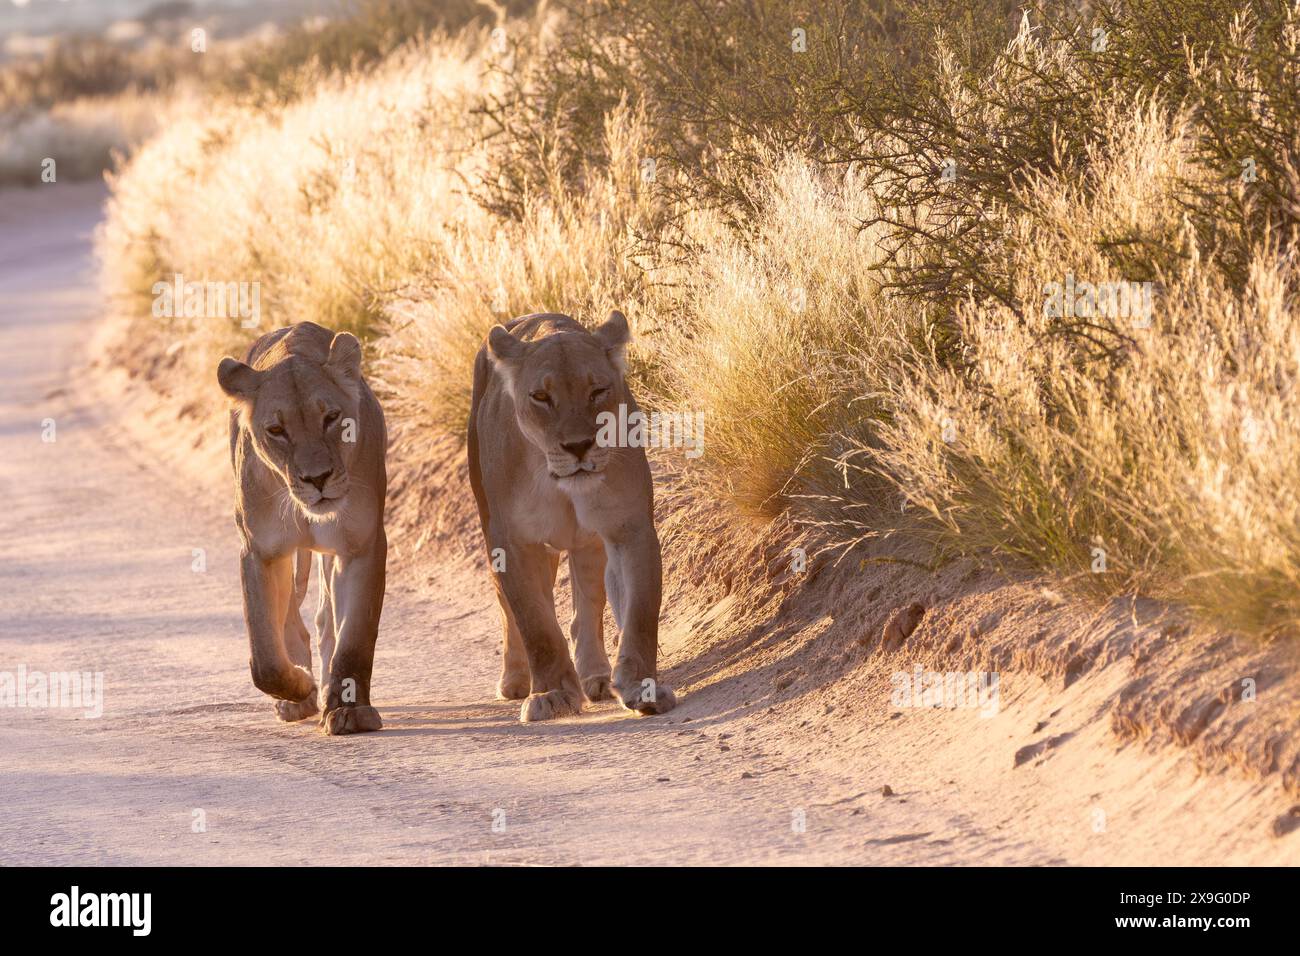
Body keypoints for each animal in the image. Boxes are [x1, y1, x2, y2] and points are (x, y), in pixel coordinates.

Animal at [217, 321, 388, 735]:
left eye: (332, 417)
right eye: (277, 429)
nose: (318, 478)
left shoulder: (362, 546)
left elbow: (354, 638)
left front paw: (350, 711)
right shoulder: (260, 551)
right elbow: (265, 659)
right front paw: (300, 688)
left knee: (326, 622)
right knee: (292, 624)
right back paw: (301, 696)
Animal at [467, 311, 677, 722]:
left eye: (597, 391)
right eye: (541, 397)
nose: (579, 446)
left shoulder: (629, 528)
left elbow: (641, 613)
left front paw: (641, 687)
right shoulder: (513, 542)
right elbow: (536, 625)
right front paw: (551, 694)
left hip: (588, 543)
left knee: (586, 608)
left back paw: (596, 676)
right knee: (509, 611)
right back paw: (515, 680)